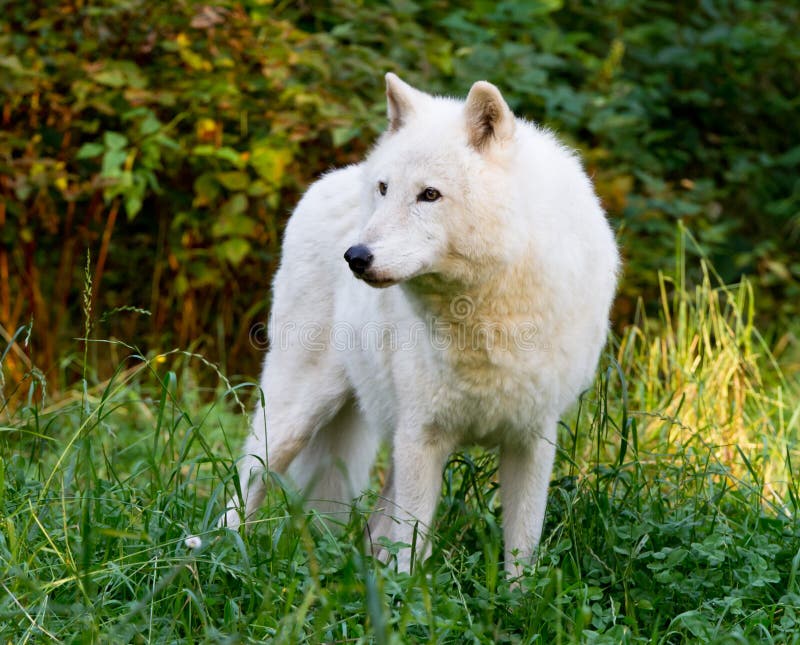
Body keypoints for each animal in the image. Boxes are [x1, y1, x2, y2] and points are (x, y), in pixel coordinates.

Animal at [222, 73, 619, 575]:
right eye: (384, 188)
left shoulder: (532, 438)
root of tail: (332, 178)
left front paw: (517, 595)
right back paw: (214, 555)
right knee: (247, 482)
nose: (355, 256)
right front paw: (407, 598)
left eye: (429, 194)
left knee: (372, 529)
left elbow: (522, 550)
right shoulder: (421, 434)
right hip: (295, 411)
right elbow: (410, 551)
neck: (480, 314)